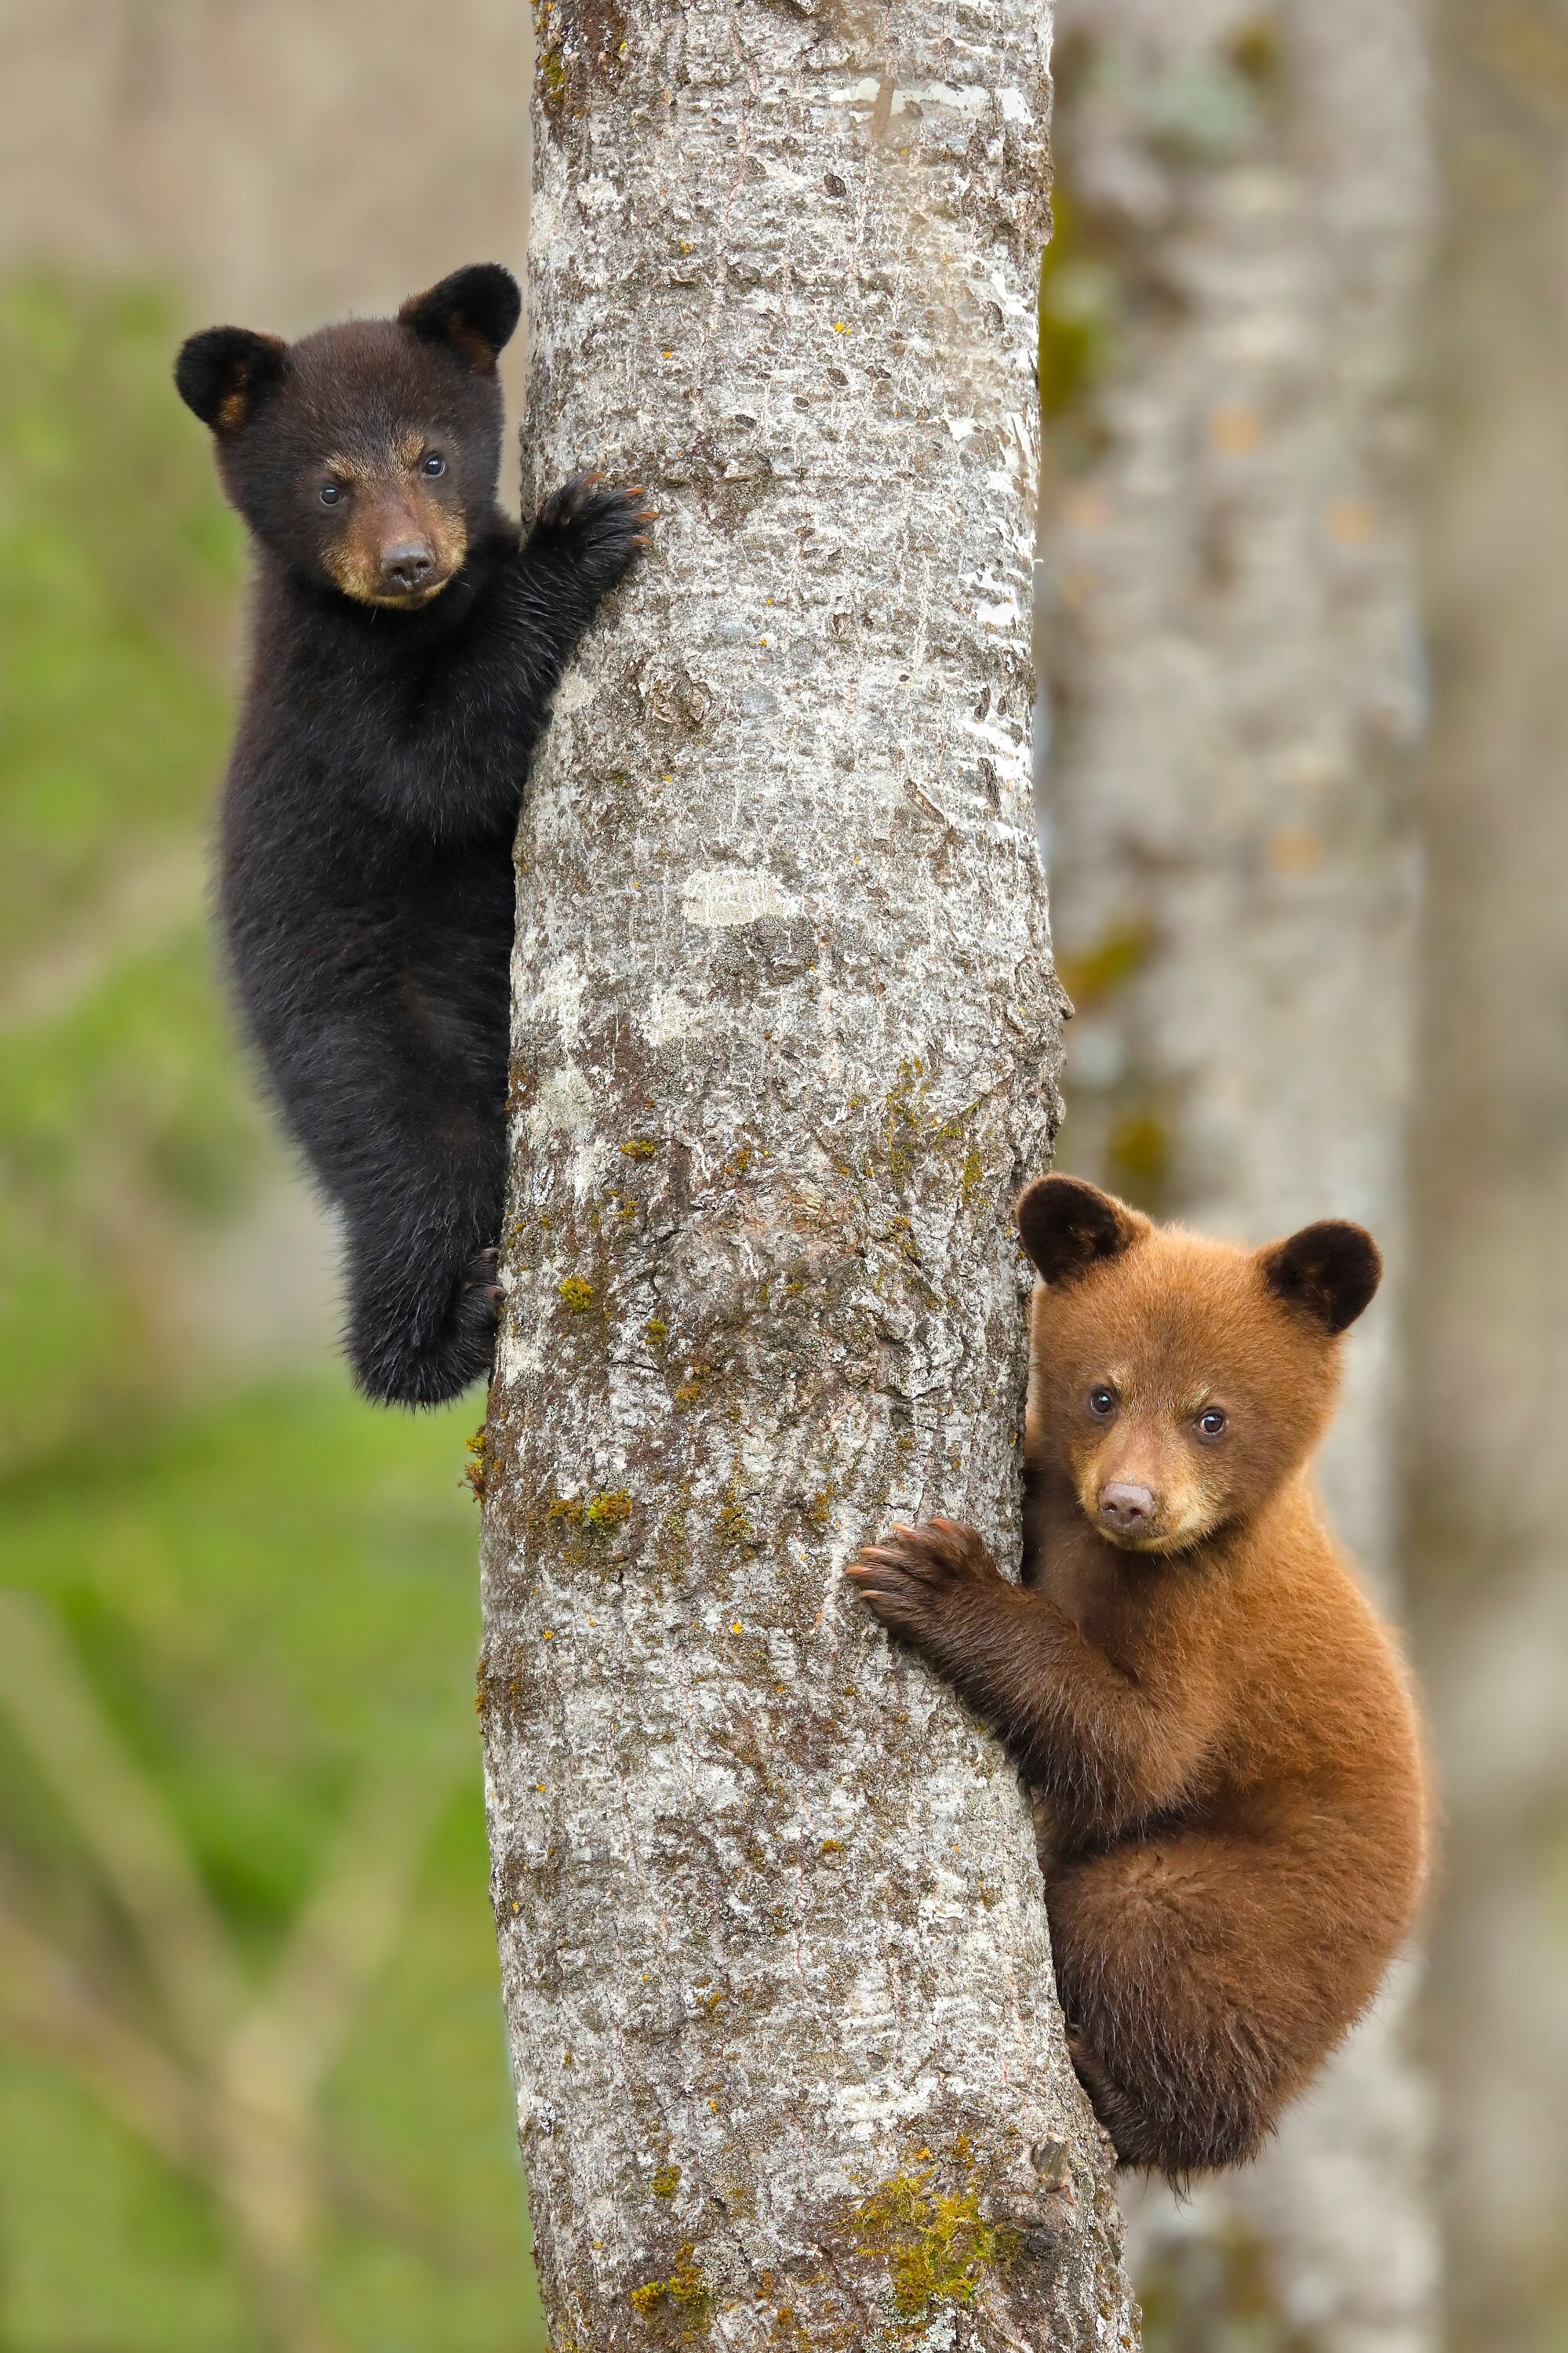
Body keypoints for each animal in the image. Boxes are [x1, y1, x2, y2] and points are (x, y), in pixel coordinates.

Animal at [174, 263, 649, 1404]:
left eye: (433, 455)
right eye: (329, 485)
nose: (406, 561)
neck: (409, 621)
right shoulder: (330, 698)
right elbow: (436, 770)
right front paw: (578, 536)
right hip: (369, 1056)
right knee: (422, 1191)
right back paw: (448, 1336)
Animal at [847, 1174, 1430, 2179]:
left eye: (1211, 1415)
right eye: (1101, 1394)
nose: (1129, 1502)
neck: (1110, 1553)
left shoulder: (1204, 1616)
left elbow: (1143, 1748)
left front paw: (938, 1582)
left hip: (1262, 1914)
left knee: (1138, 1932)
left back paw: (1120, 2098)